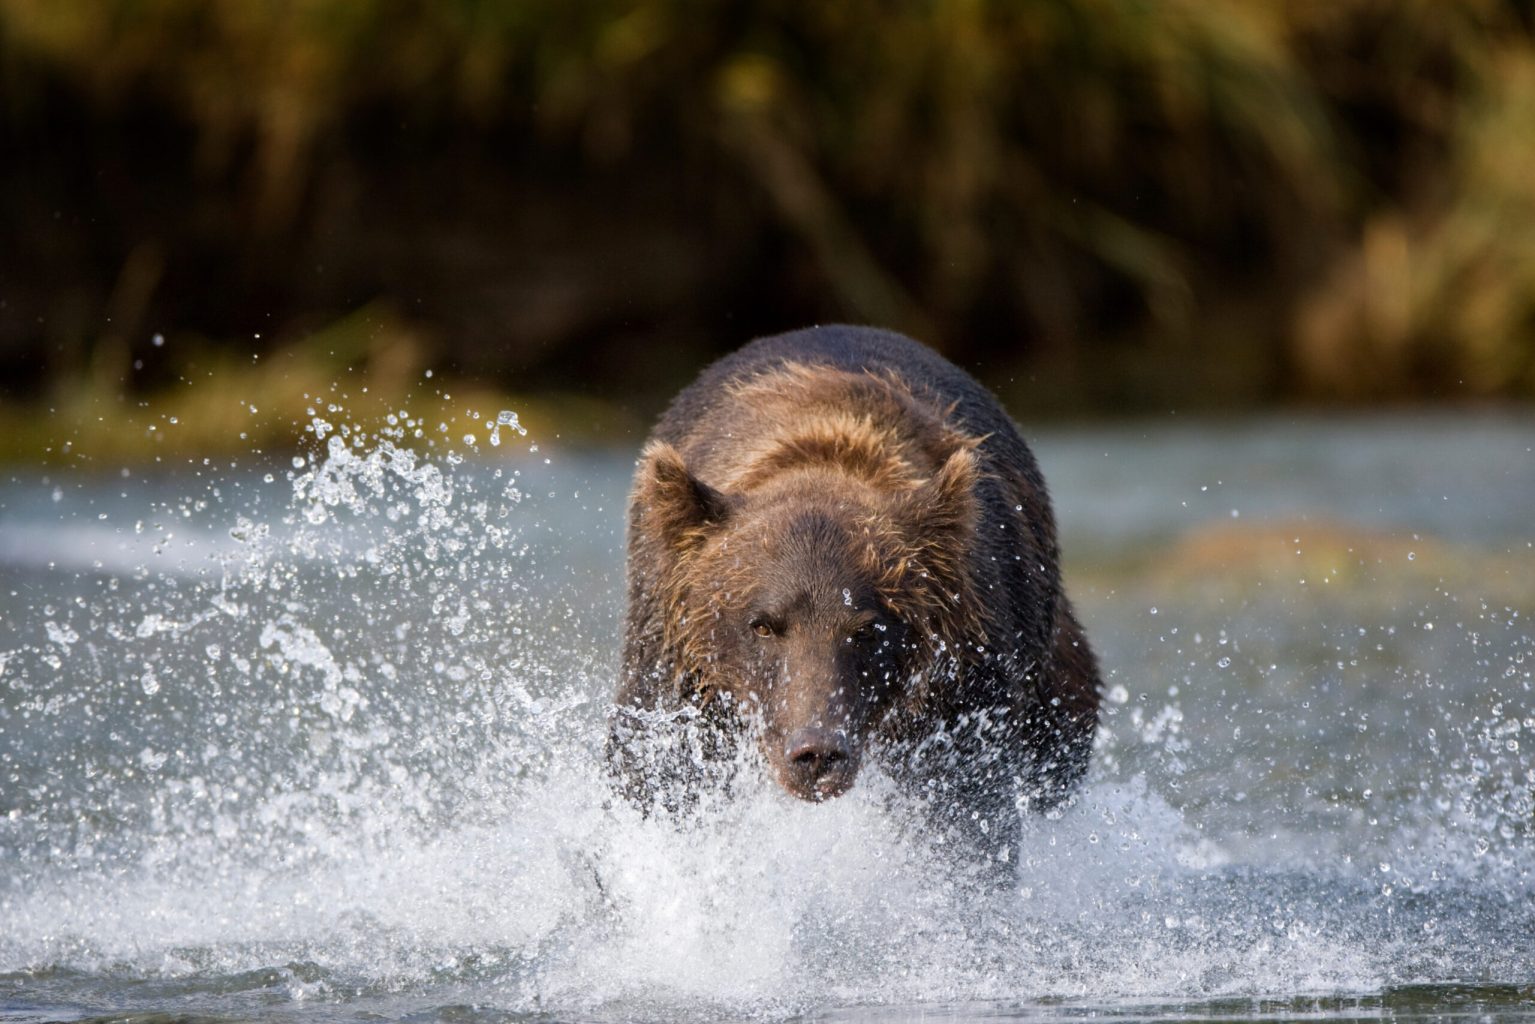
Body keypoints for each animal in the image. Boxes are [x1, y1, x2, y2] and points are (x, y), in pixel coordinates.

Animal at [607, 325, 1100, 858]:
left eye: (867, 628)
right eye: (763, 625)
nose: (817, 751)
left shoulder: (963, 685)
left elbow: (966, 816)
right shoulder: (678, 673)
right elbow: (661, 782)